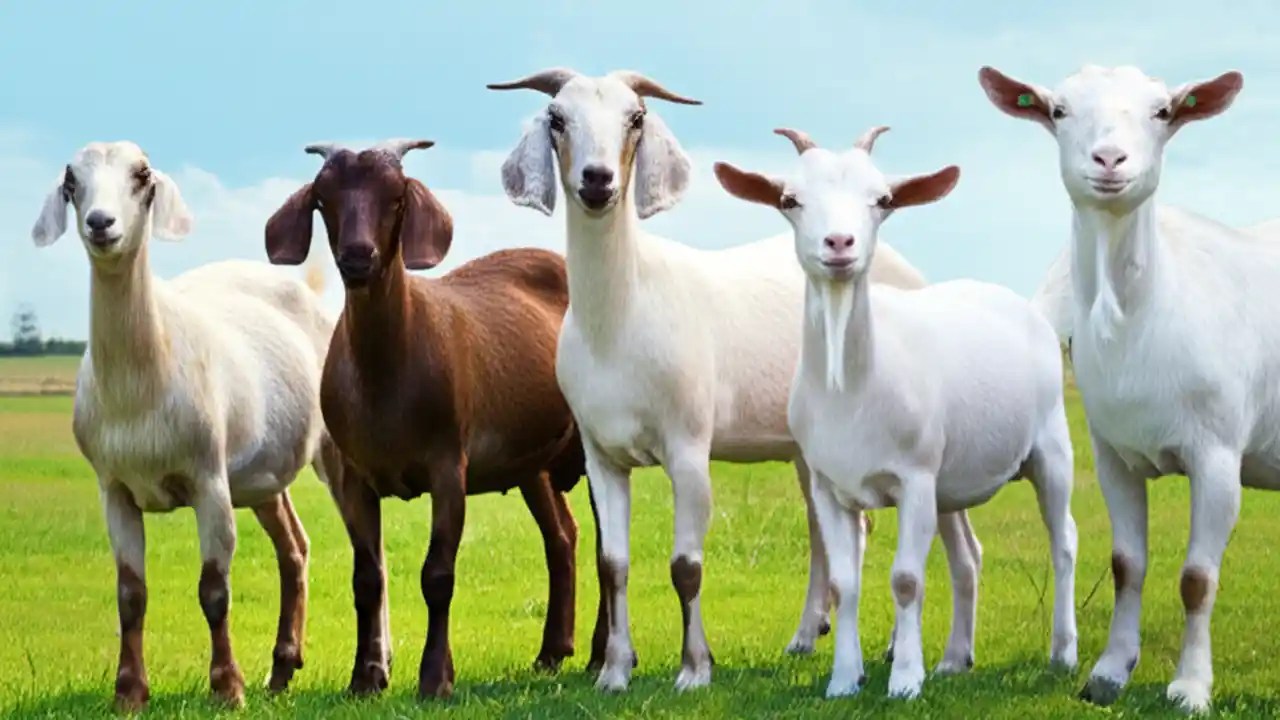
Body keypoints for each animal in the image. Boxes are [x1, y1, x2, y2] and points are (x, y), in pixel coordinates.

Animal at [30, 141, 337, 711]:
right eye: (71, 180)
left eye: (142, 174)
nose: (100, 223)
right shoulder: (114, 487)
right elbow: (130, 594)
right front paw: (129, 693)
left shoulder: (208, 477)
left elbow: (214, 590)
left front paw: (228, 689)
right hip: (263, 474)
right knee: (294, 547)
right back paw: (283, 667)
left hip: (331, 443)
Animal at [264, 138, 594, 699]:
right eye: (323, 200)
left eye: (396, 197)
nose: (358, 257)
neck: (387, 375)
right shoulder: (354, 475)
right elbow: (367, 579)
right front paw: (365, 678)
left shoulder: (447, 466)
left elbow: (437, 575)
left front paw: (436, 676)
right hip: (534, 463)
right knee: (563, 537)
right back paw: (552, 652)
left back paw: (599, 658)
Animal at [487, 68, 935, 692]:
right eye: (557, 118)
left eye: (636, 117)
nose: (598, 180)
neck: (621, 321)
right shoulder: (601, 453)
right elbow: (613, 563)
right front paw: (614, 671)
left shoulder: (688, 445)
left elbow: (687, 565)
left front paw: (695, 668)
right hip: (807, 447)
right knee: (832, 528)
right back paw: (805, 636)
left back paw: (891, 648)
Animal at [716, 127, 1079, 699]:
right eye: (790, 200)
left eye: (882, 199)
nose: (839, 243)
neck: (852, 391)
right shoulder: (829, 483)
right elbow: (844, 580)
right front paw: (844, 679)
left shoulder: (914, 477)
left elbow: (907, 579)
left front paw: (905, 679)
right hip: (951, 482)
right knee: (968, 556)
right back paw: (954, 659)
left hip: (1051, 447)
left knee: (1063, 540)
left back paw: (1063, 653)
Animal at [980, 64, 1266, 714]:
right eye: (1058, 110)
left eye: (1163, 111)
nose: (1110, 159)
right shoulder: (1113, 455)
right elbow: (1125, 564)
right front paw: (1108, 674)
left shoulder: (1218, 455)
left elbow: (1197, 579)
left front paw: (1190, 687)